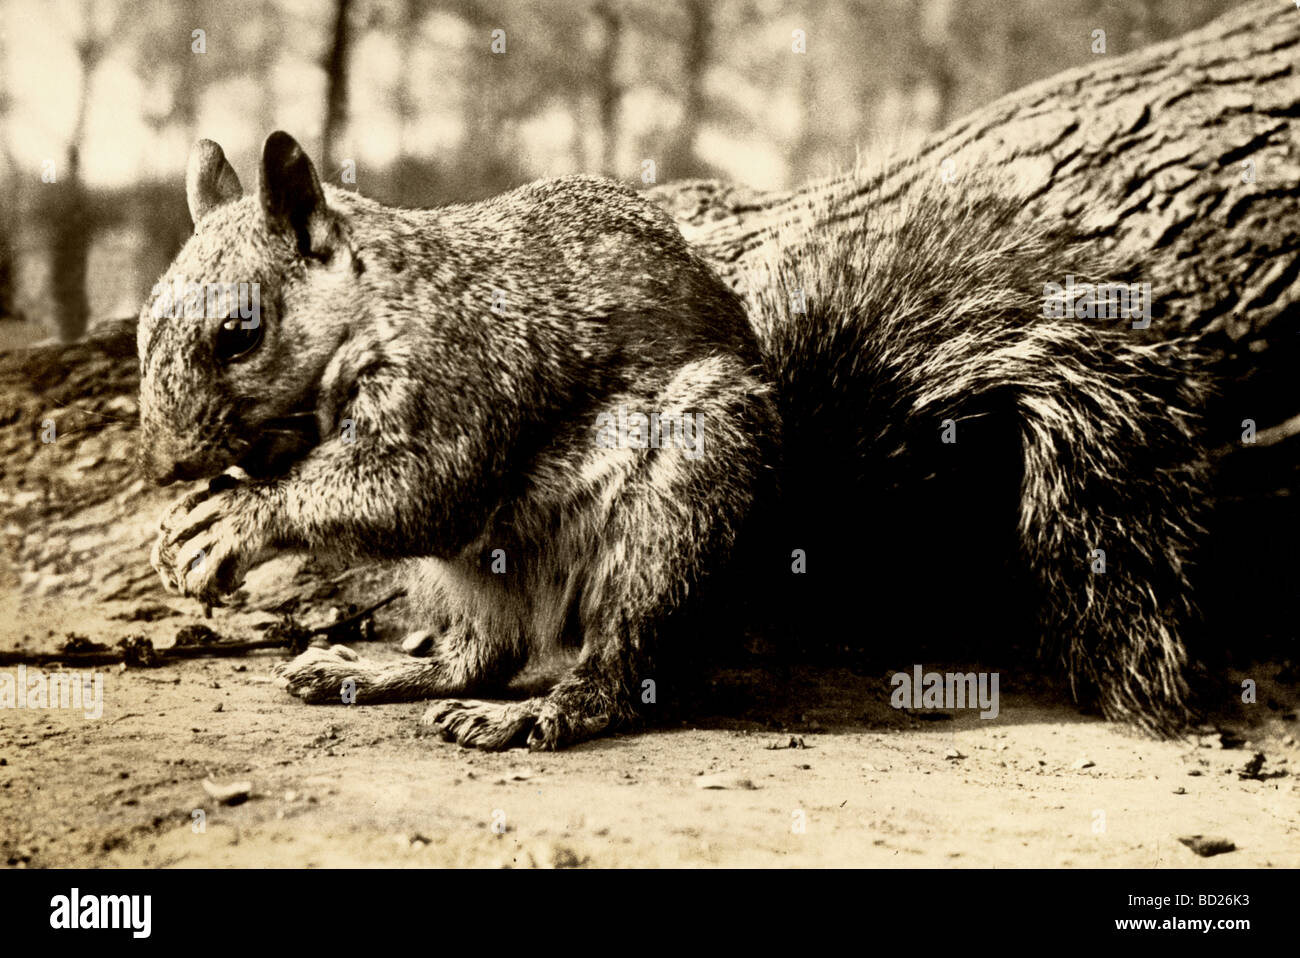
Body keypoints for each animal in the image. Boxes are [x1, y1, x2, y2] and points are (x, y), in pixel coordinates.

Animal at [137, 131, 1211, 749]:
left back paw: (533, 715)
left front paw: (233, 522)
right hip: (468, 577)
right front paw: (205, 506)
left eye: (239, 333)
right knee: (479, 652)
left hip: (674, 513)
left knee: (618, 673)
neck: (375, 308)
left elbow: (414, 491)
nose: (168, 459)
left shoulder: (460, 378)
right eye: (147, 318)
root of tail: (778, 535)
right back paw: (372, 671)